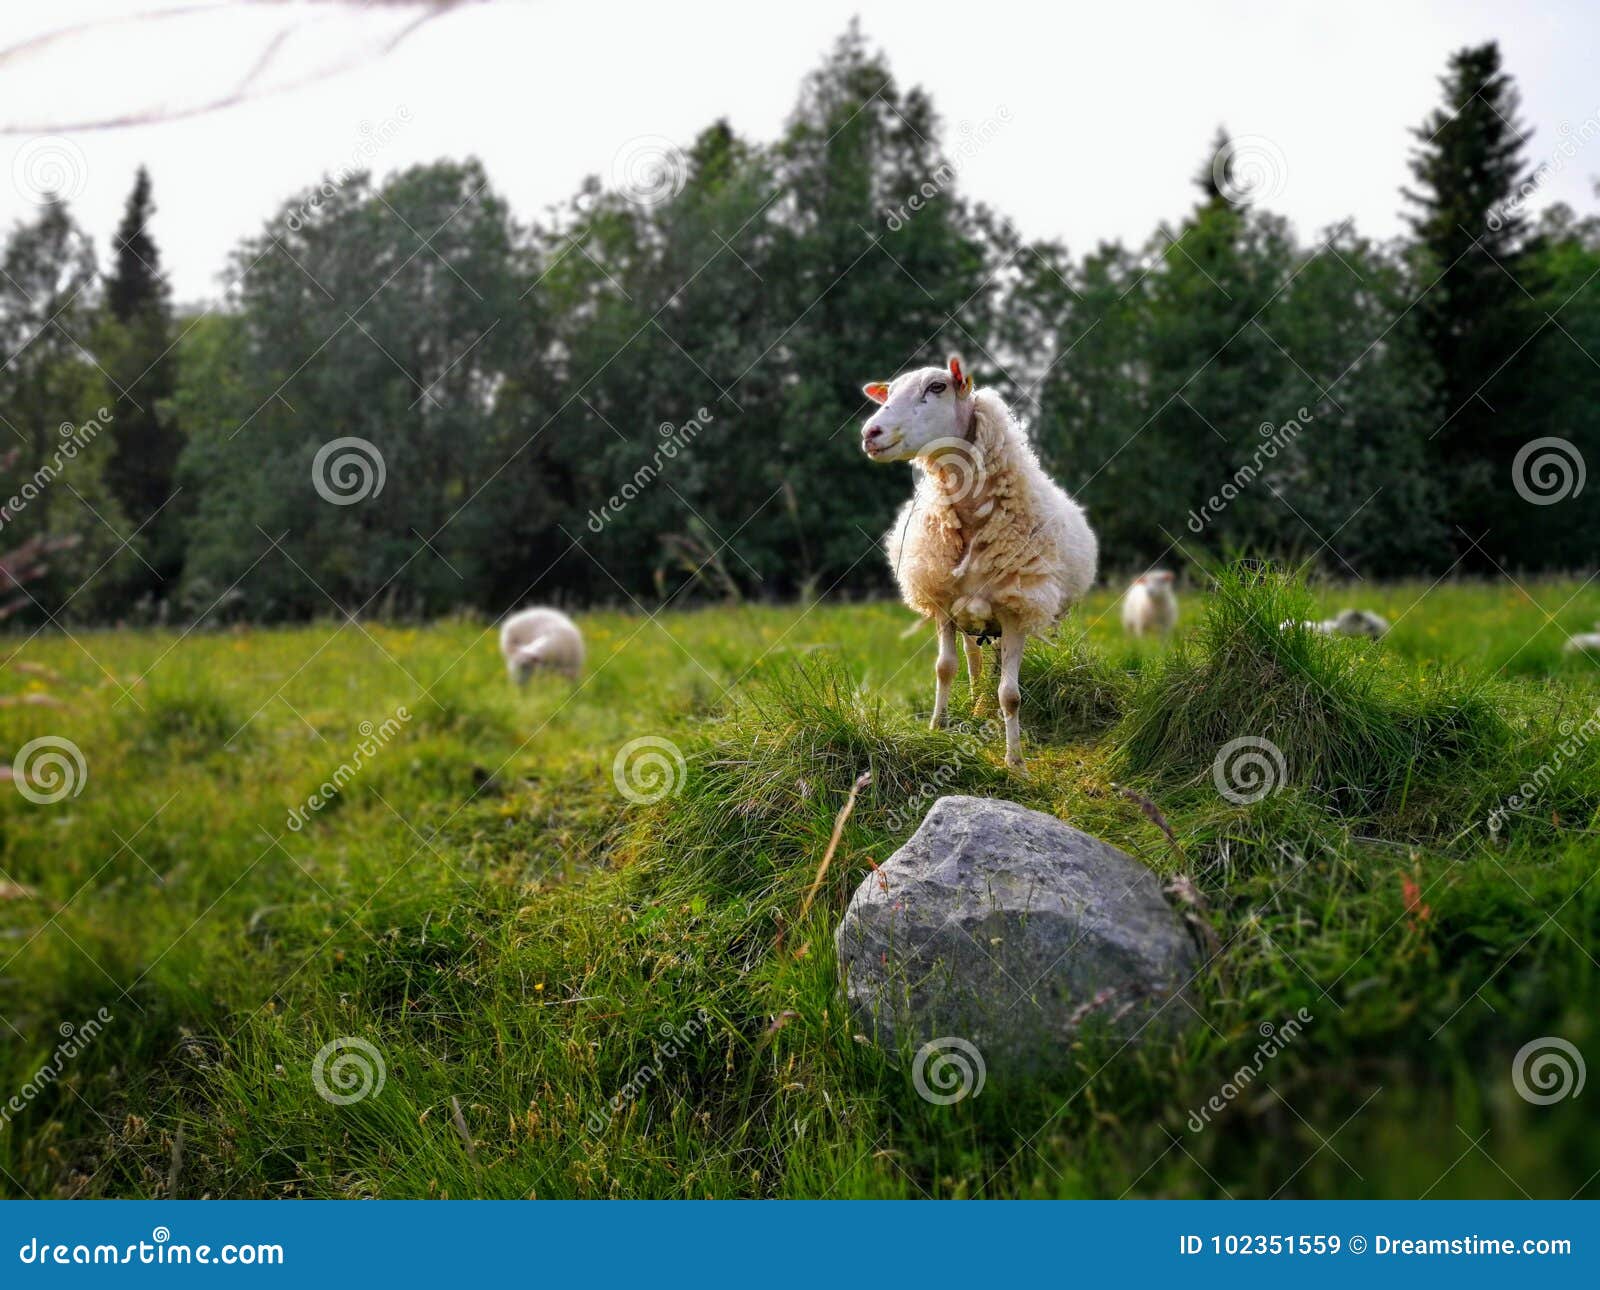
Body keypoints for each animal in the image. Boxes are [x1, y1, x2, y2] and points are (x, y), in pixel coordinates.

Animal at [861, 355, 1098, 767]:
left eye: (936, 387)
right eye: (888, 393)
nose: (870, 433)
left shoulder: (1017, 609)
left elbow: (1011, 695)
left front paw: (1015, 762)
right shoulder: (943, 603)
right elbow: (945, 669)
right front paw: (937, 730)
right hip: (971, 617)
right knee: (973, 659)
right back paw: (975, 704)